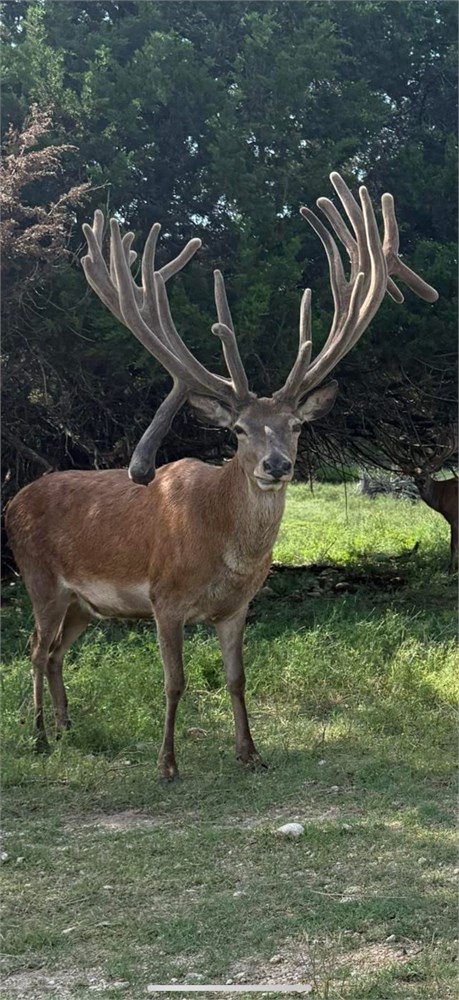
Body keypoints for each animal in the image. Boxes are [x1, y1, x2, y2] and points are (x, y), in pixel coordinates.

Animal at [5, 172, 439, 779]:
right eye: (237, 430)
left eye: (296, 426)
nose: (277, 465)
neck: (221, 547)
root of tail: (13, 501)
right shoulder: (163, 598)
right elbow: (175, 682)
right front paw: (166, 764)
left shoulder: (237, 607)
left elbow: (236, 679)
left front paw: (250, 753)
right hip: (38, 578)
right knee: (34, 647)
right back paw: (41, 736)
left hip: (83, 604)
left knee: (55, 651)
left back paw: (67, 728)